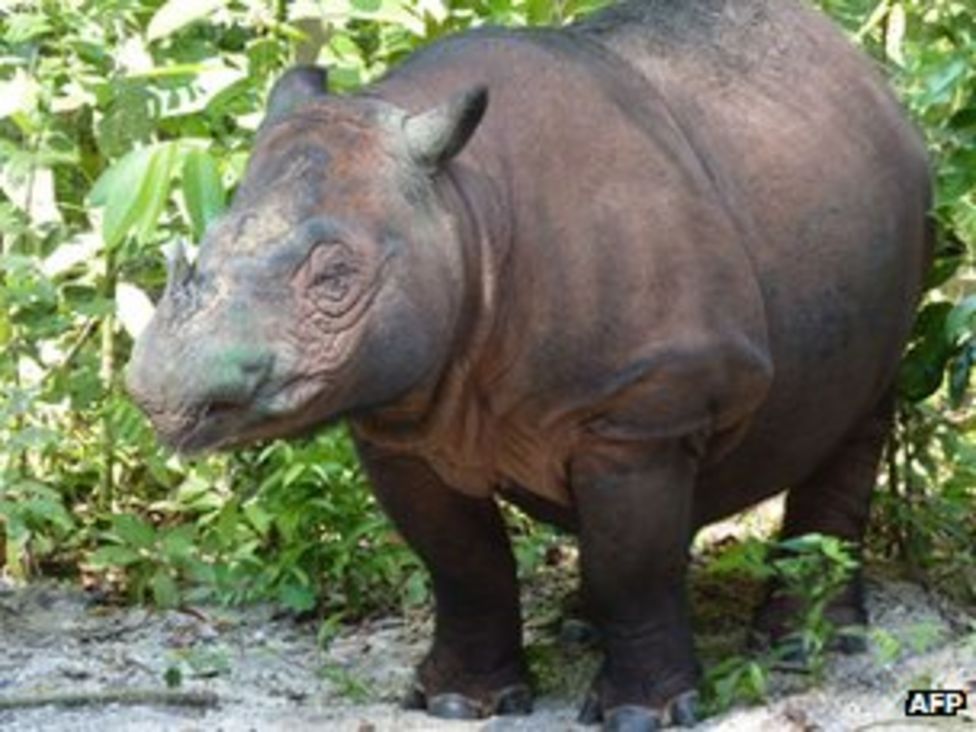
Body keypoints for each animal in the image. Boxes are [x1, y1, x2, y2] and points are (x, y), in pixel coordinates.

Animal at [126, 0, 931, 728]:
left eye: (334, 279)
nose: (163, 393)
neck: (460, 210)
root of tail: (867, 74)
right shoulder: (402, 418)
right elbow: (464, 564)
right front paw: (460, 703)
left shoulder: (641, 406)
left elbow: (630, 563)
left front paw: (646, 714)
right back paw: (583, 625)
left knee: (856, 415)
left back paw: (806, 646)